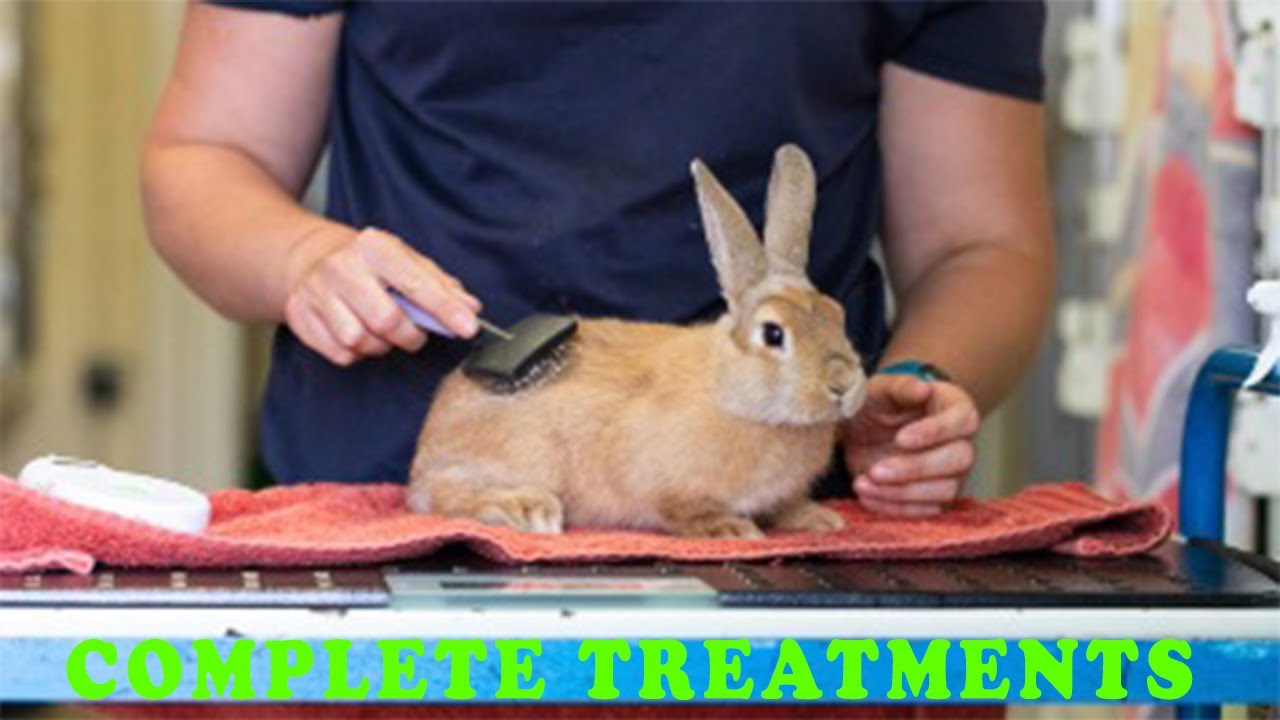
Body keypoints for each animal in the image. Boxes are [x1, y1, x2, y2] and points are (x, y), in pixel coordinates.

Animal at [406, 144, 867, 539]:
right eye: (773, 334)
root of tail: (430, 438)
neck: (728, 392)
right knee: (445, 495)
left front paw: (818, 519)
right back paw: (528, 508)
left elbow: (785, 505)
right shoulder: (665, 484)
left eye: (837, 314)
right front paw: (732, 529)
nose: (843, 385)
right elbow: (684, 511)